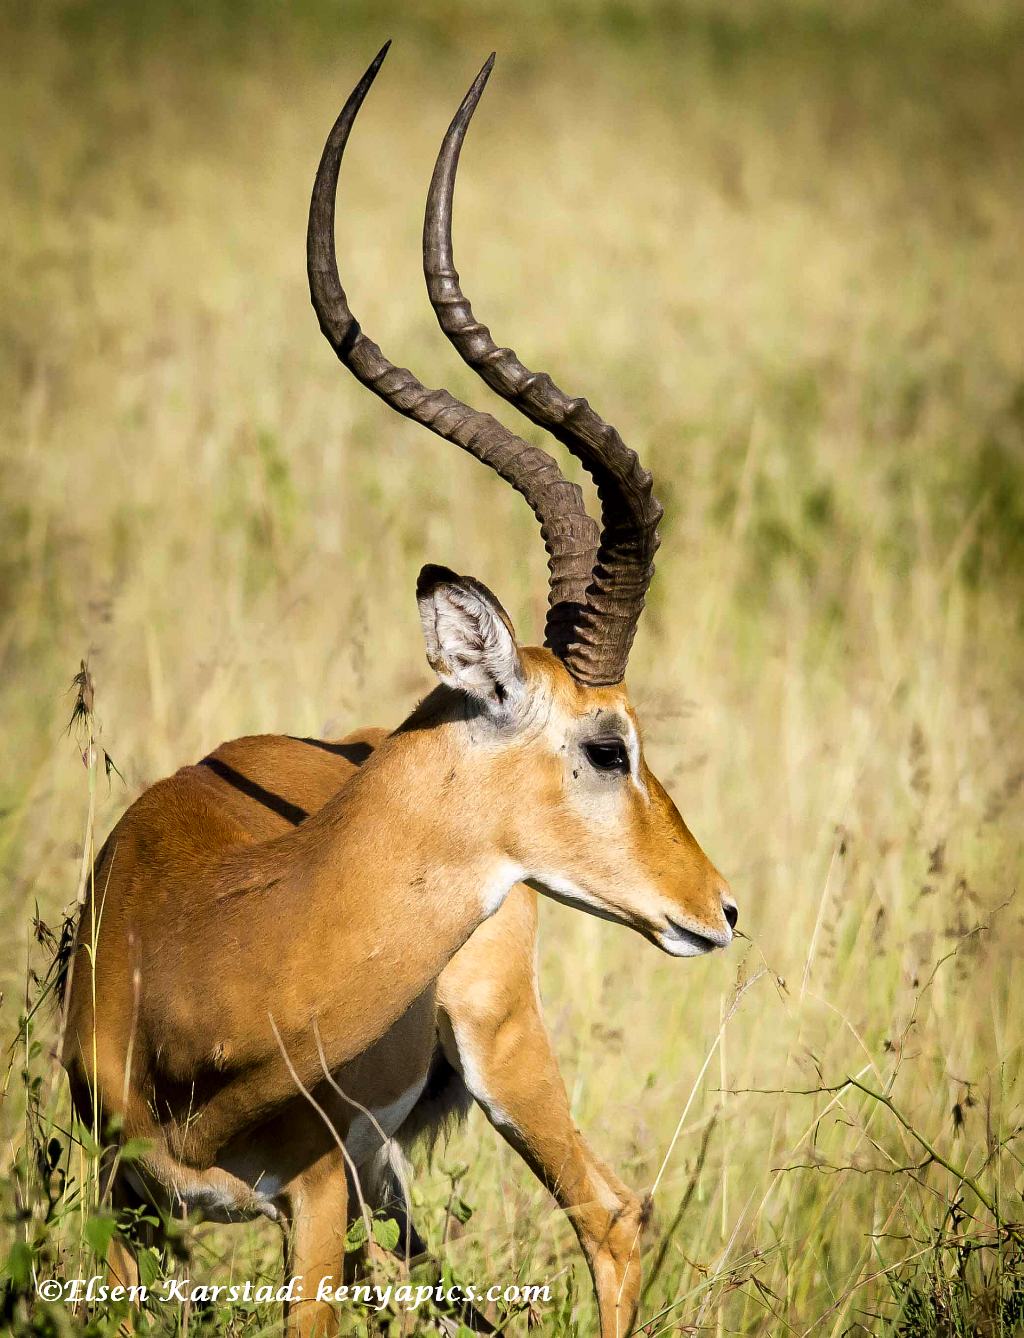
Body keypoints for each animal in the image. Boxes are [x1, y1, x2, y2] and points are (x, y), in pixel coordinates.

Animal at [60, 45, 737, 1338]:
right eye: (608, 744)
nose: (720, 908)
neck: (201, 944)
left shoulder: (315, 1199)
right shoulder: (116, 1204)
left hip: (497, 1058)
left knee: (613, 1215)